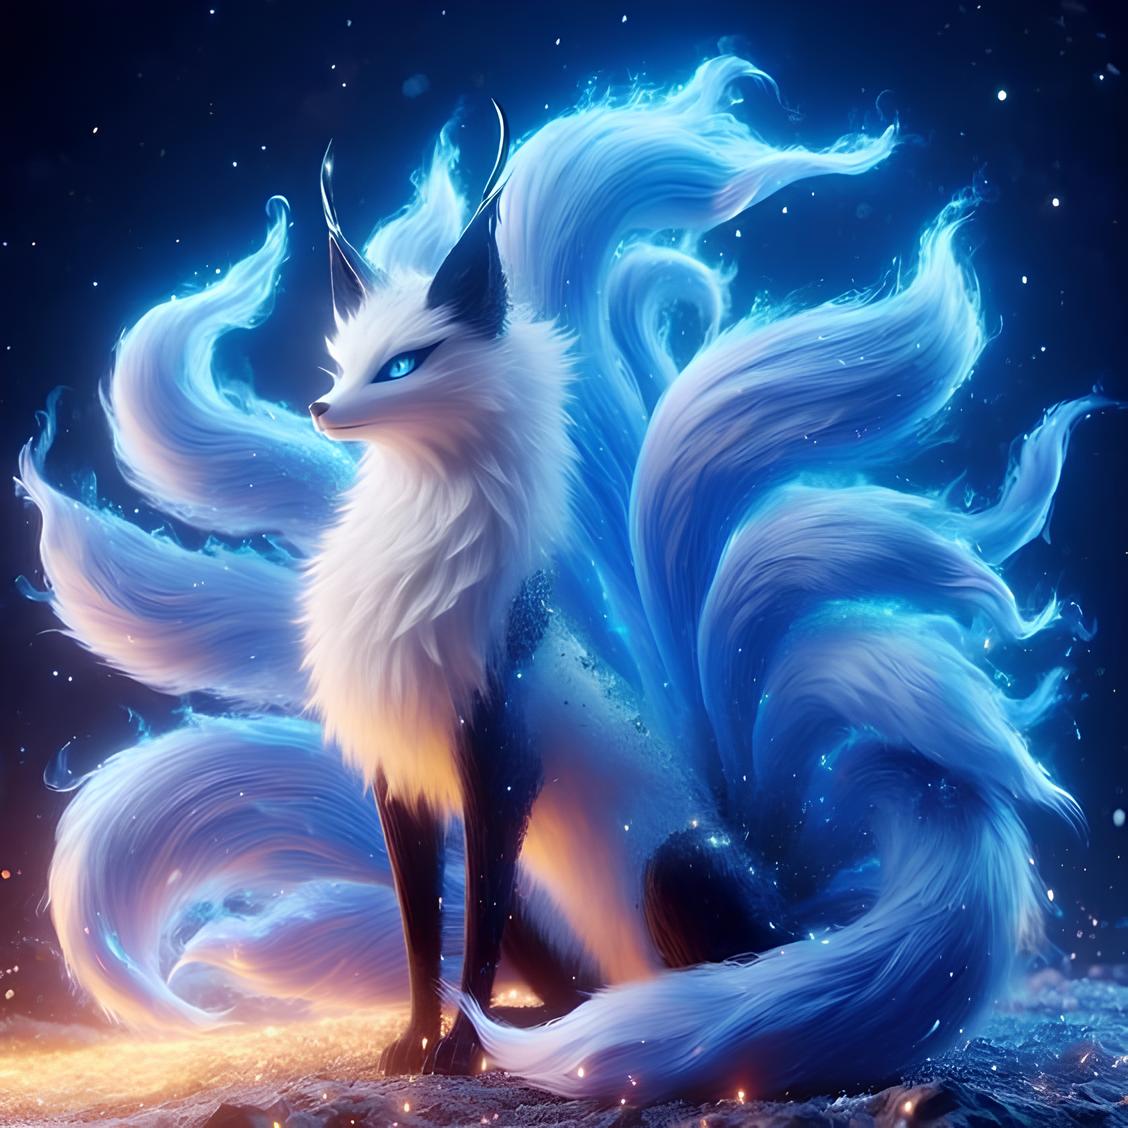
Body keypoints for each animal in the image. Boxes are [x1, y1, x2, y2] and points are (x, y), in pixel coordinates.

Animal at [20, 56, 1100, 1102]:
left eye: (404, 363)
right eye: (342, 358)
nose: (323, 408)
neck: (409, 556)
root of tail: (778, 879)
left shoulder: (499, 765)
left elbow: (469, 933)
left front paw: (456, 1056)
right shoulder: (402, 785)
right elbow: (425, 933)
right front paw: (414, 1047)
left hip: (677, 869)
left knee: (732, 971)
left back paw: (691, 1035)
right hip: (561, 913)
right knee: (561, 975)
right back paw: (562, 1027)